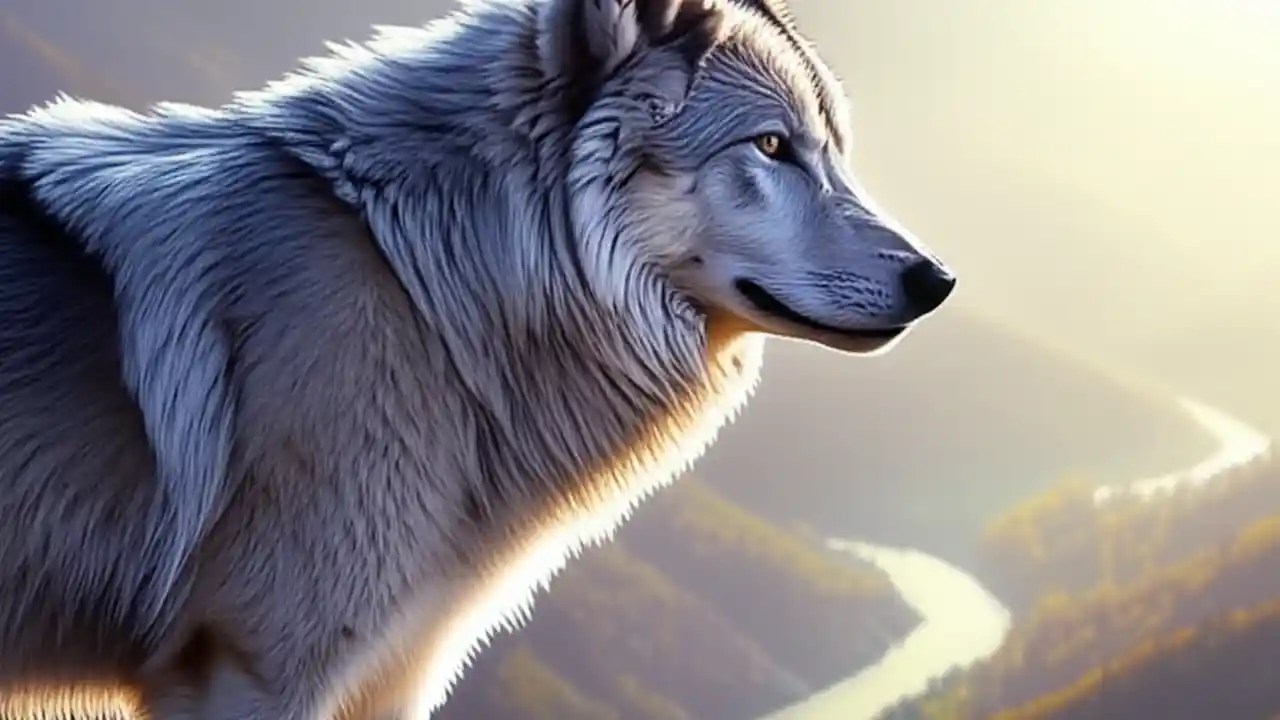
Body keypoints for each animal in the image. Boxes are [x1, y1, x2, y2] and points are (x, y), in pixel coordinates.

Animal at [0, 0, 955, 717]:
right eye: (771, 146)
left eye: (834, 149)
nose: (938, 279)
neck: (423, 283)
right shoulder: (253, 672)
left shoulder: (390, 674)